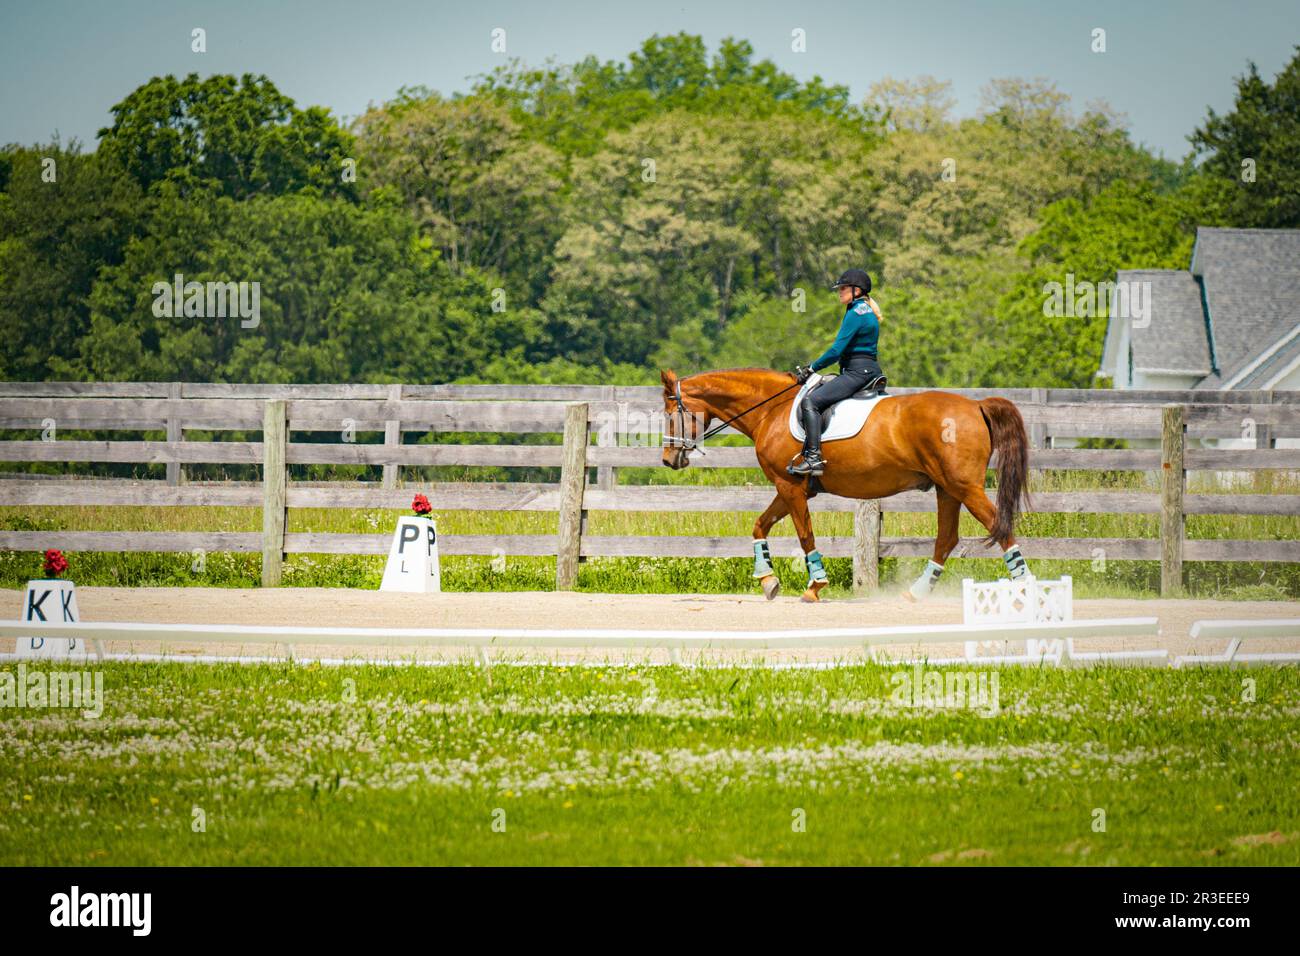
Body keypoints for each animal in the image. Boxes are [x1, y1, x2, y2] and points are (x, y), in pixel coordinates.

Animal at [659, 367, 1031, 602]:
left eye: (669, 413)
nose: (668, 459)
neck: (771, 410)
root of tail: (976, 405)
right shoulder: (790, 487)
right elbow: (759, 526)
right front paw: (768, 580)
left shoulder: (790, 487)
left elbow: (804, 535)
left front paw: (815, 585)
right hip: (947, 489)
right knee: (947, 538)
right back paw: (917, 592)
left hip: (964, 487)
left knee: (998, 526)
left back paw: (1028, 589)